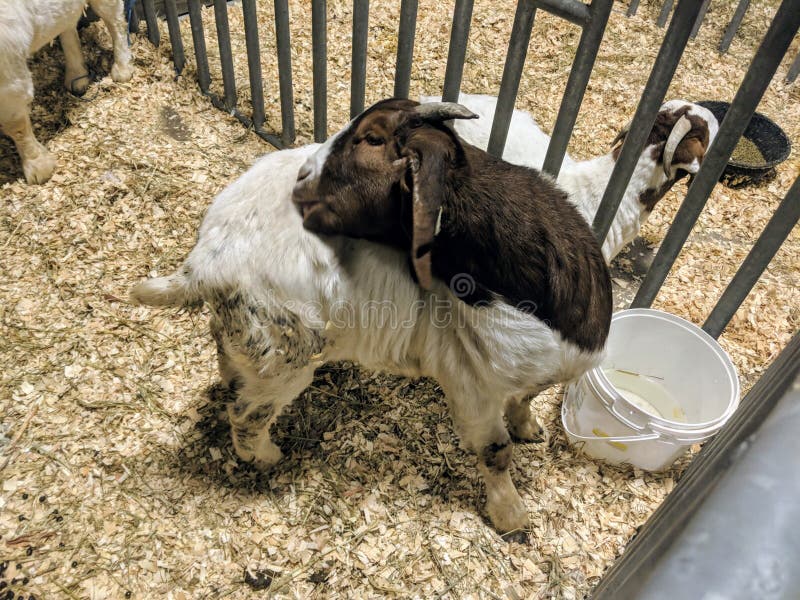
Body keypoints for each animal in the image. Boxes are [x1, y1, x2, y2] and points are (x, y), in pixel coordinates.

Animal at [0, 0, 133, 184]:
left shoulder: (9, 76)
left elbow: (16, 125)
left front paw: (38, 166)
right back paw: (77, 75)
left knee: (115, 19)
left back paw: (122, 67)